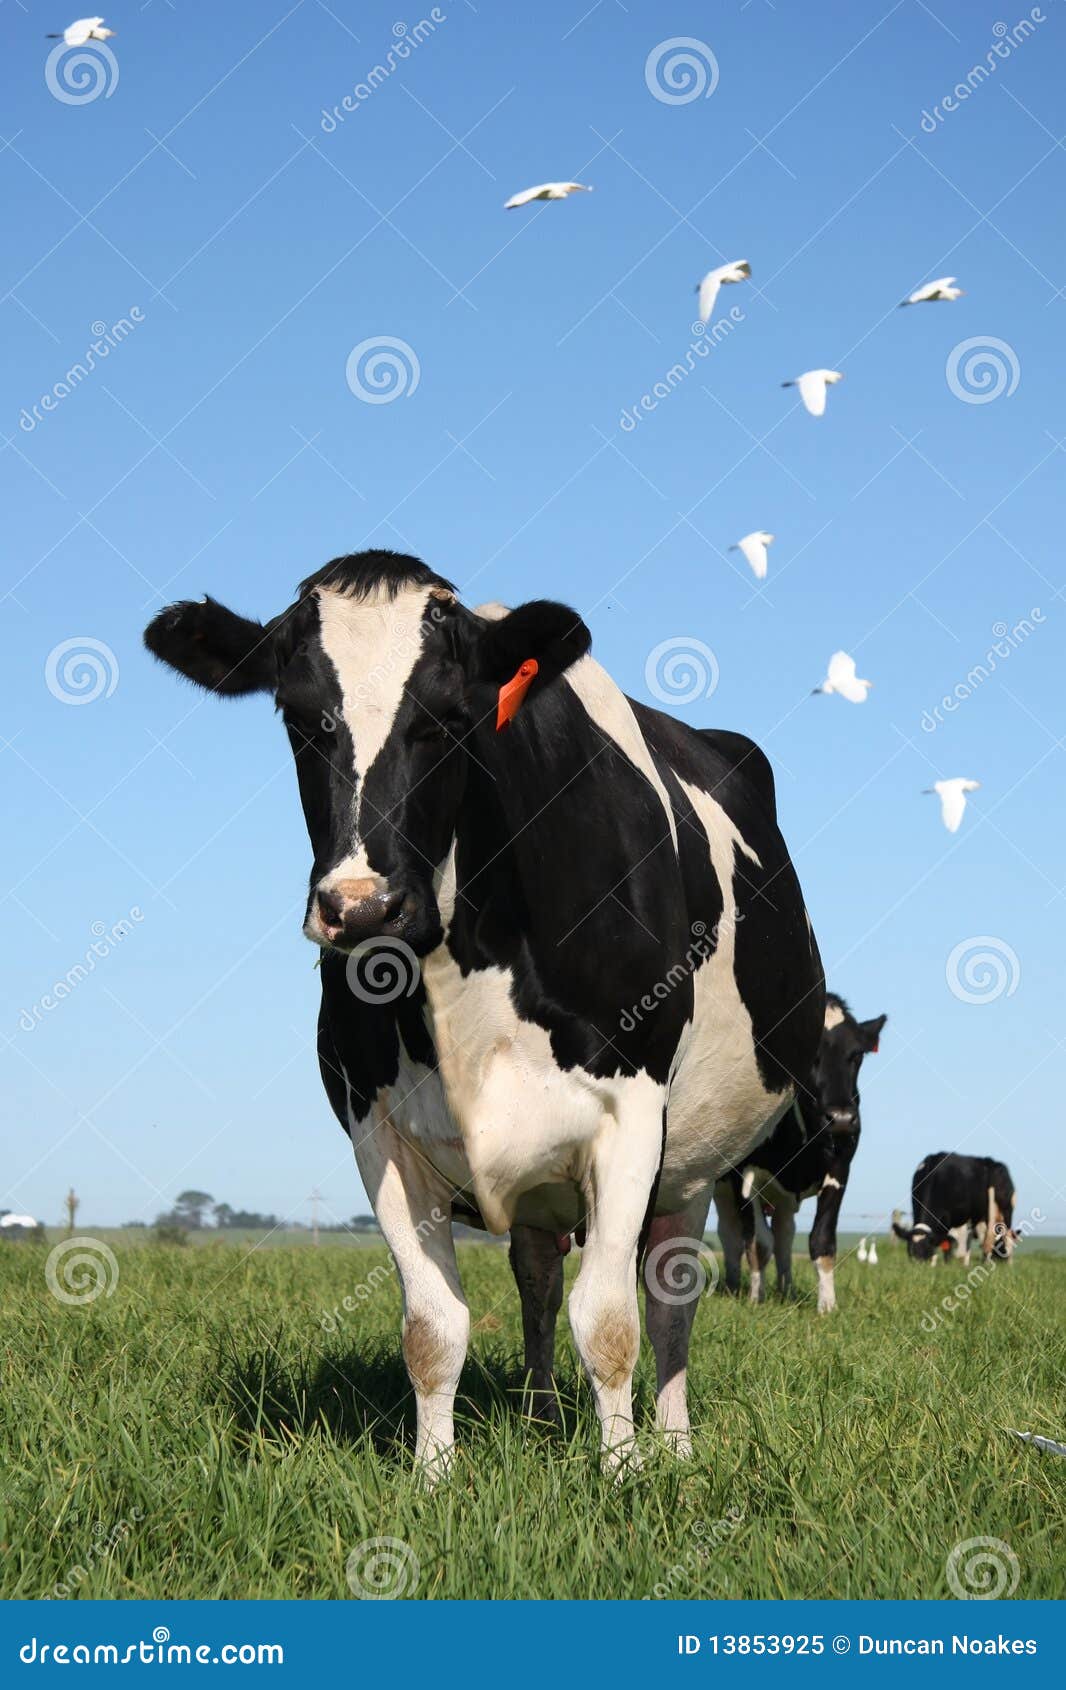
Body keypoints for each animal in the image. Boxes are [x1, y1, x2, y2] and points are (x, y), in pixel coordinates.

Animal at [144, 549, 824, 1475]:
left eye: (451, 718)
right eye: (299, 717)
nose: (361, 907)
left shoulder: (632, 1113)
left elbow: (610, 1323)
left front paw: (623, 1474)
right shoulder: (379, 1131)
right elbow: (433, 1329)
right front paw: (434, 1479)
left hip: (691, 1162)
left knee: (670, 1301)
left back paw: (676, 1446)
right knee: (536, 1273)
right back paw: (539, 1418)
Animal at [714, 992, 886, 1313]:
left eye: (856, 1055)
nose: (841, 1119)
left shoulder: (839, 1171)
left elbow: (822, 1240)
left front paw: (827, 1305)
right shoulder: (744, 1176)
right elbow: (757, 1243)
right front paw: (756, 1299)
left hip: (782, 1197)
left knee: (784, 1234)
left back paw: (787, 1290)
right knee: (729, 1234)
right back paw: (732, 1285)